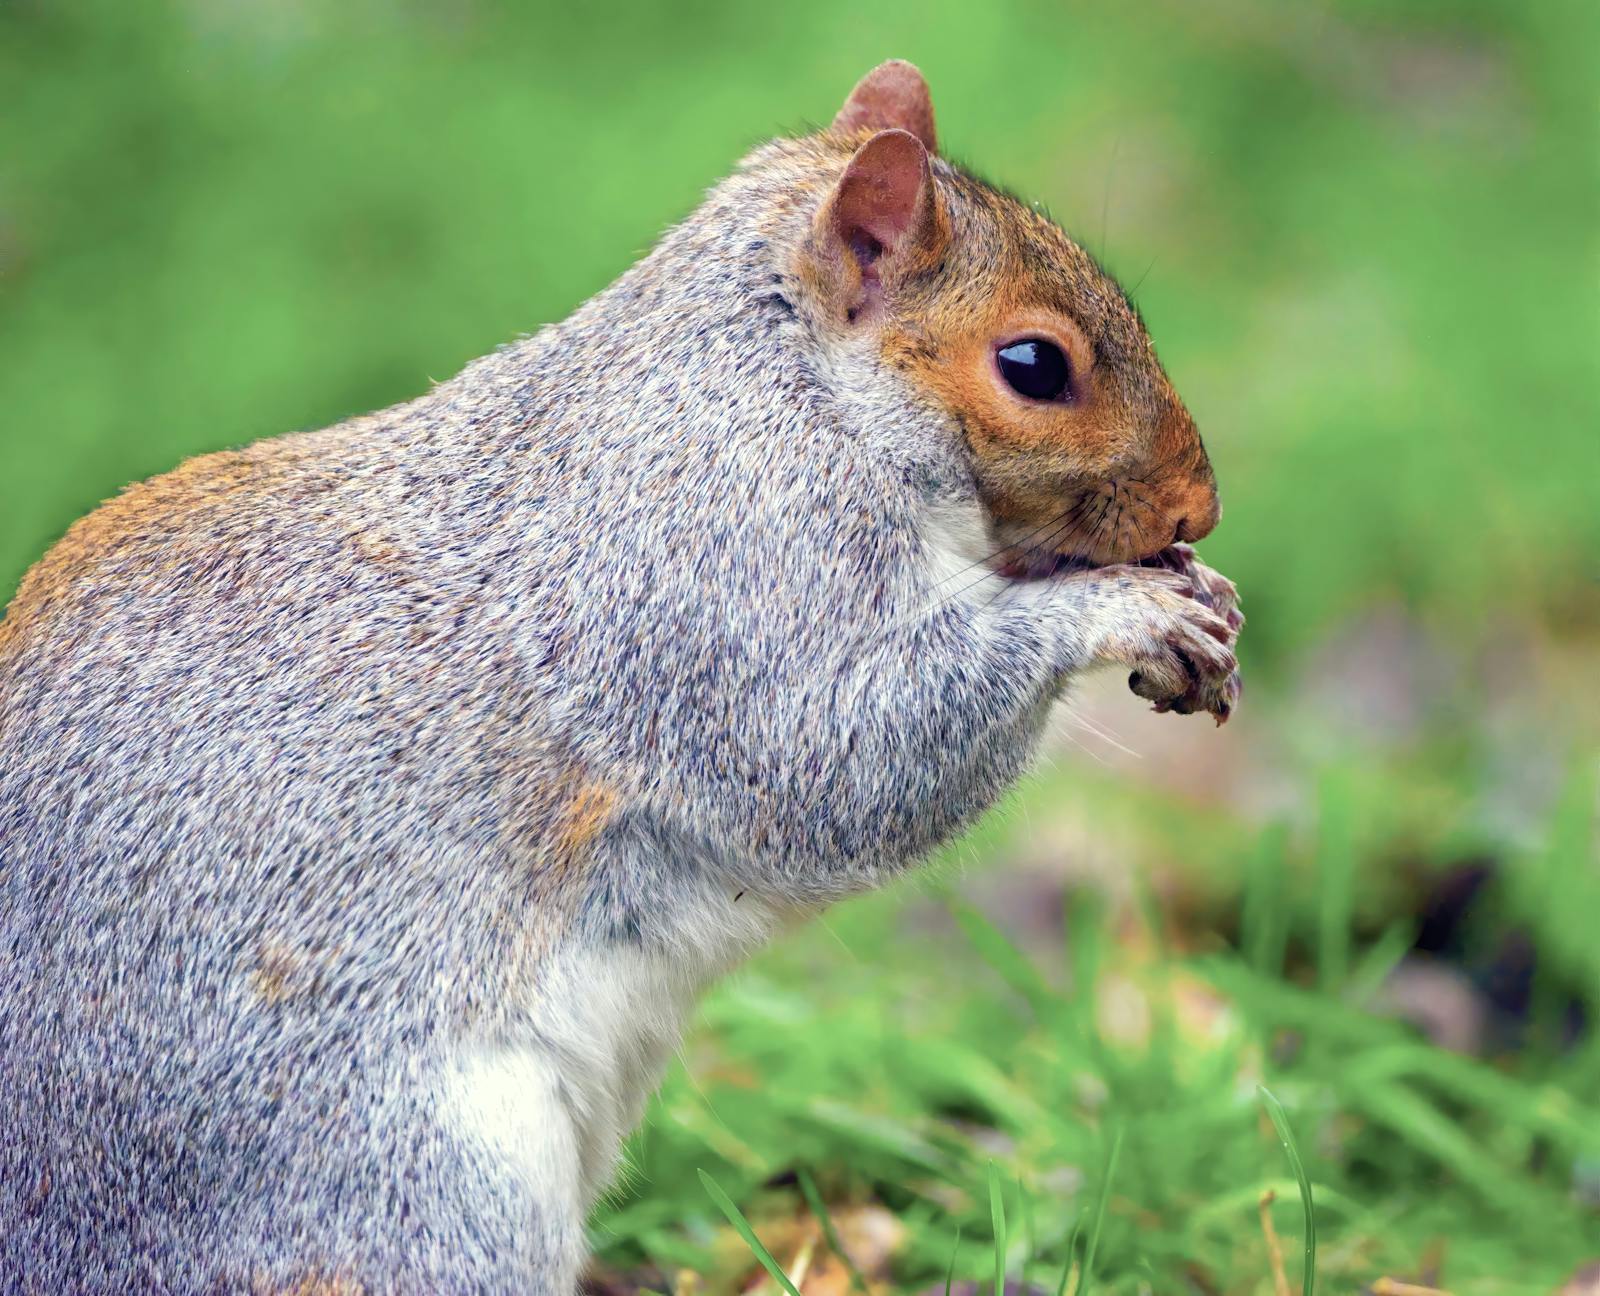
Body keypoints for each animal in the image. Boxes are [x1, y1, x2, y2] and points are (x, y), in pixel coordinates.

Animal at [0, 61, 1240, 1295]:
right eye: (1034, 366)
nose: (1197, 510)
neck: (790, 393)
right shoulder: (719, 582)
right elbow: (844, 761)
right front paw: (1124, 609)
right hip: (419, 1195)